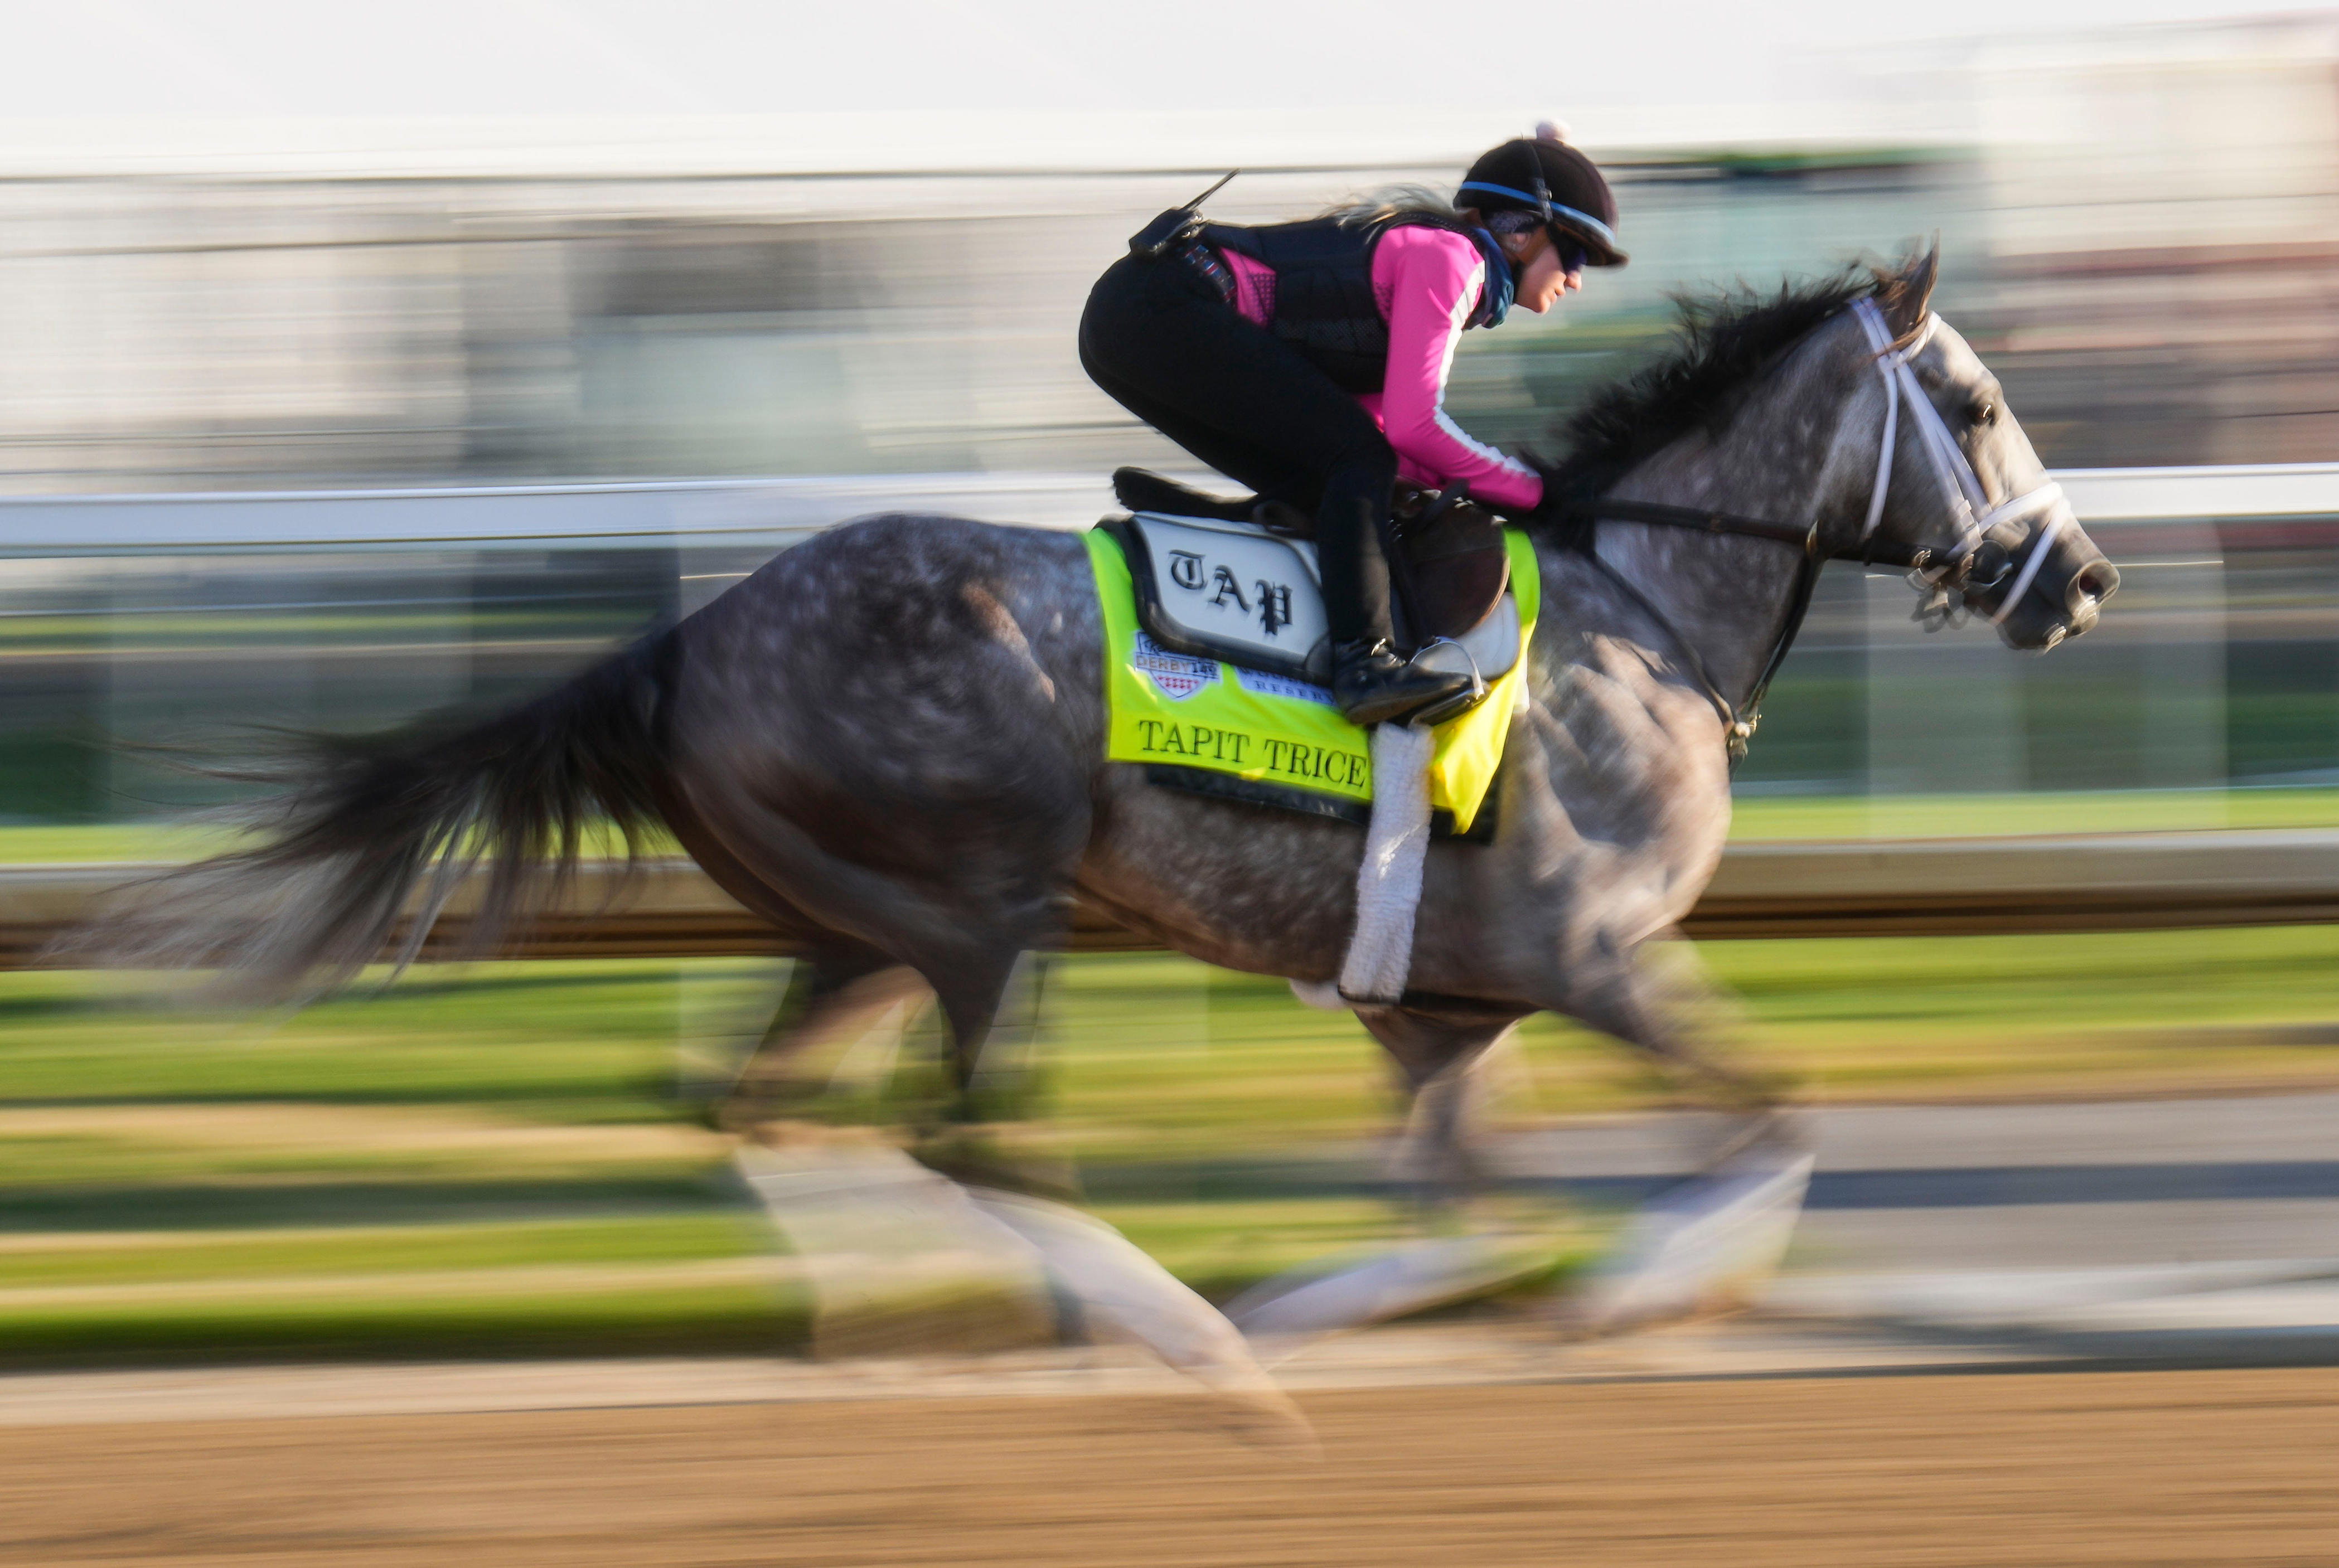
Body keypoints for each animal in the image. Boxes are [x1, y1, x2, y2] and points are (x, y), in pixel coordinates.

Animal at [106, 249, 2116, 1322]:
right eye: (1973, 400)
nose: (2080, 577)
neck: (1641, 615)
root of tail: (687, 633)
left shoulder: (1442, 1011)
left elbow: (1456, 1222)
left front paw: (1399, 1312)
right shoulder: (1585, 954)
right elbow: (1771, 1113)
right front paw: (1634, 1294)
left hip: (857, 928)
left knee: (766, 1111)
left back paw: (915, 1324)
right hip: (985, 905)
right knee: (972, 1135)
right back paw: (1133, 1338)